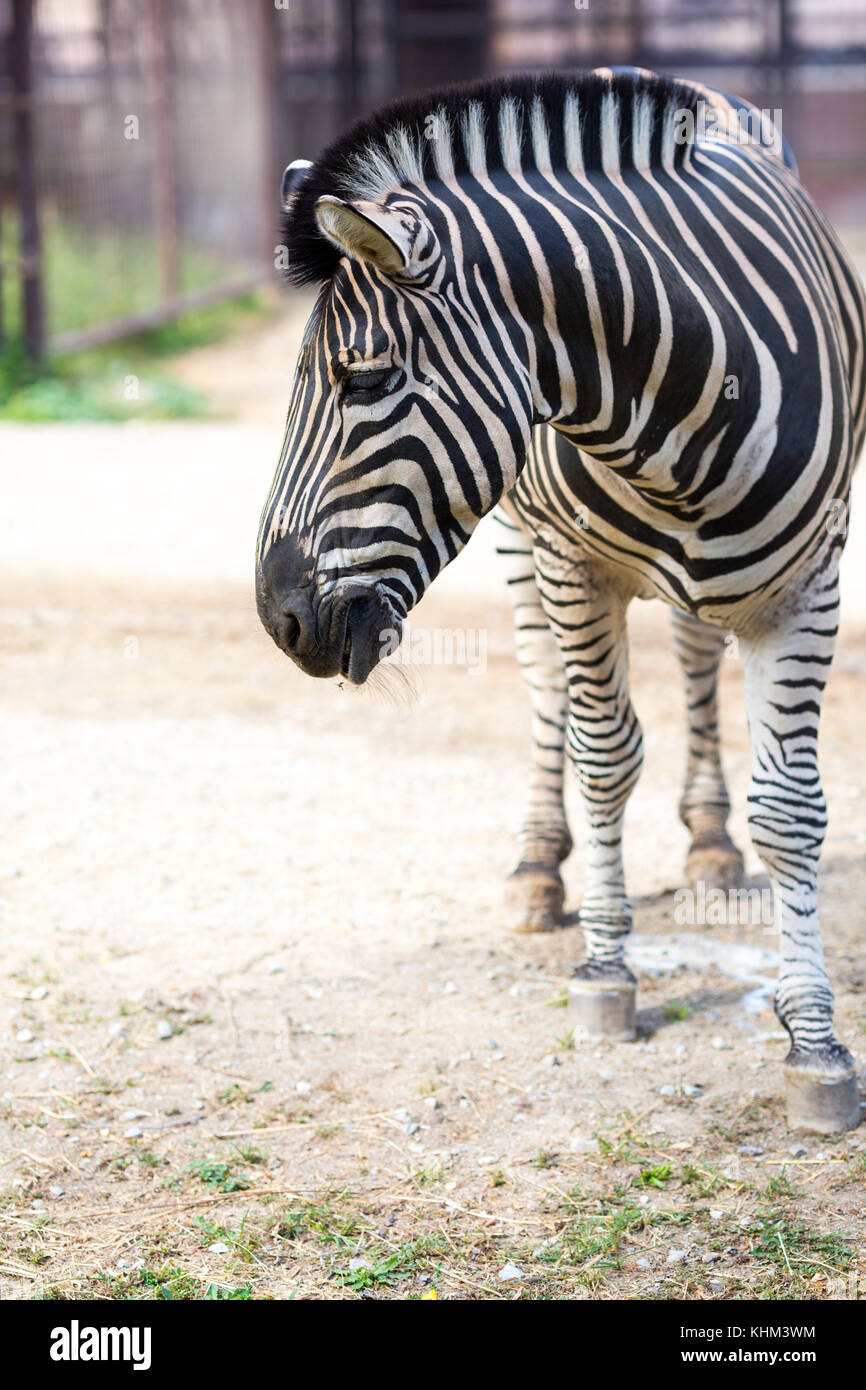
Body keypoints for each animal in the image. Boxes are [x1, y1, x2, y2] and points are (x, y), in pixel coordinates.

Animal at [255, 68, 866, 1134]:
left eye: (364, 381)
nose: (277, 617)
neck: (684, 401)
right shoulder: (575, 568)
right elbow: (604, 757)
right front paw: (607, 972)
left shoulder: (809, 586)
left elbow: (791, 808)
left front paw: (818, 1045)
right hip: (520, 540)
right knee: (551, 694)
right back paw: (540, 869)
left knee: (696, 660)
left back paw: (710, 841)